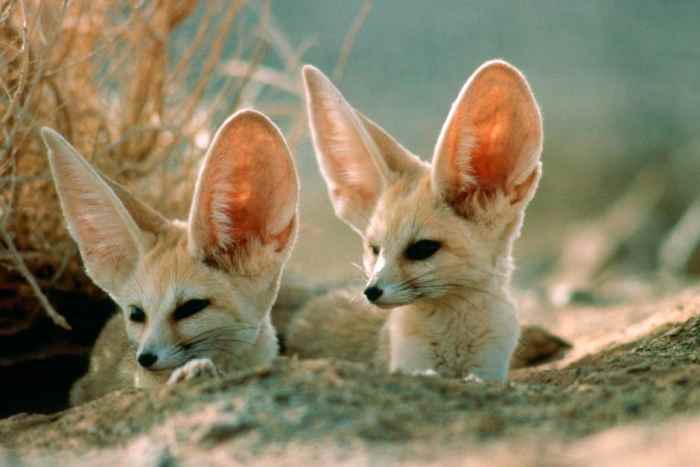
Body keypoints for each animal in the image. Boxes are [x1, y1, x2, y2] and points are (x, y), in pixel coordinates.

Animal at [287, 60, 545, 382]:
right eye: (374, 249)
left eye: (422, 248)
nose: (370, 292)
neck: (453, 341)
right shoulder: (413, 364)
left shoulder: (489, 369)